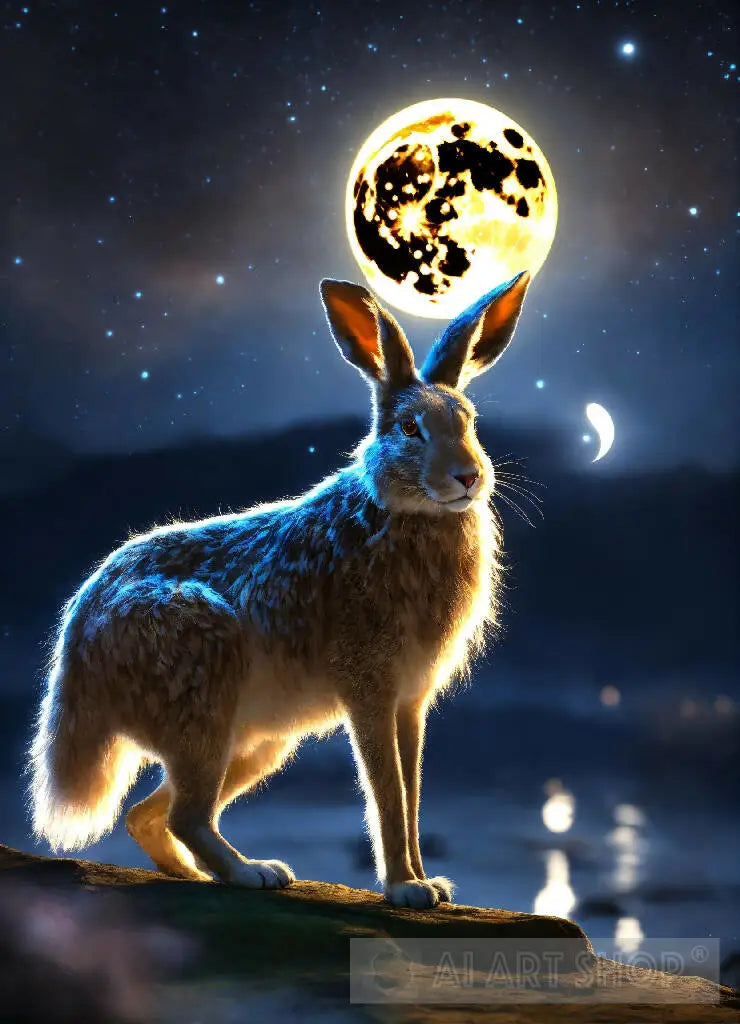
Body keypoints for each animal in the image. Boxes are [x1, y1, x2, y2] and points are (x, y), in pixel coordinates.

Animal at [27, 269, 530, 909]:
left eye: (469, 422)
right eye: (408, 429)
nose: (468, 477)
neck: (404, 511)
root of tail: (79, 658)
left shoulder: (410, 702)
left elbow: (412, 790)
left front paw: (430, 885)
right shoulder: (369, 688)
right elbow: (387, 792)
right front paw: (404, 889)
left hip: (255, 744)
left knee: (149, 815)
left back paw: (199, 875)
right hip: (204, 695)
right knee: (186, 815)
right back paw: (253, 873)